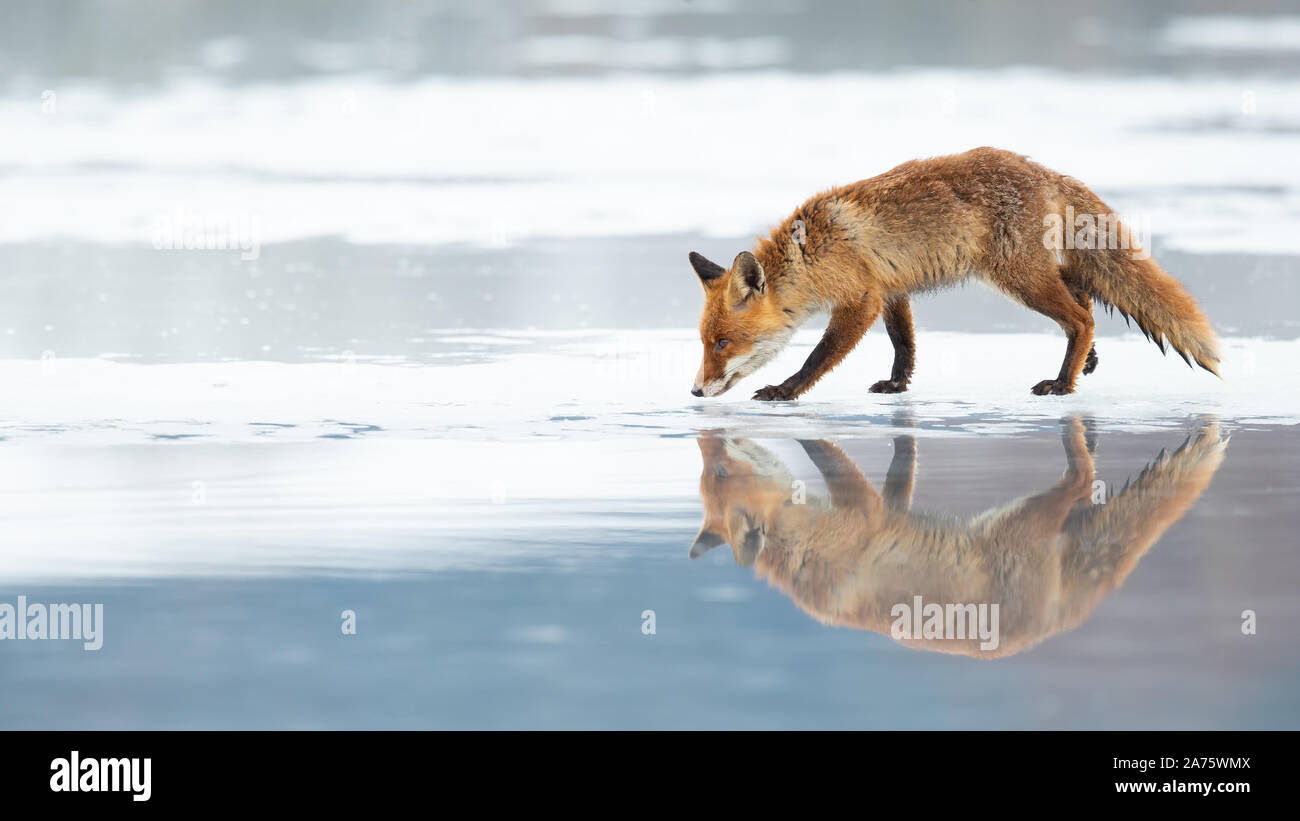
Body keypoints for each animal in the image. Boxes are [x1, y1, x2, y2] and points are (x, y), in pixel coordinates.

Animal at [687, 147, 1221, 399]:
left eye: (722, 342)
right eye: (704, 342)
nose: (694, 391)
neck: (810, 253)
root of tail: (1042, 169)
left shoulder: (861, 299)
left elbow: (818, 357)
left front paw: (785, 391)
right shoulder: (892, 288)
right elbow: (904, 344)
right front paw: (898, 386)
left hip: (1017, 278)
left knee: (1080, 316)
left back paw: (1063, 383)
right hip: (1030, 273)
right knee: (1082, 296)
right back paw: (1084, 362)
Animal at [690, 418, 1229, 658]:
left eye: (719, 470)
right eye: (705, 471)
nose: (708, 433)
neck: (806, 548)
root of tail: (1057, 623)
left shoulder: (865, 511)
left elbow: (830, 455)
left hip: (1026, 519)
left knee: (1081, 481)